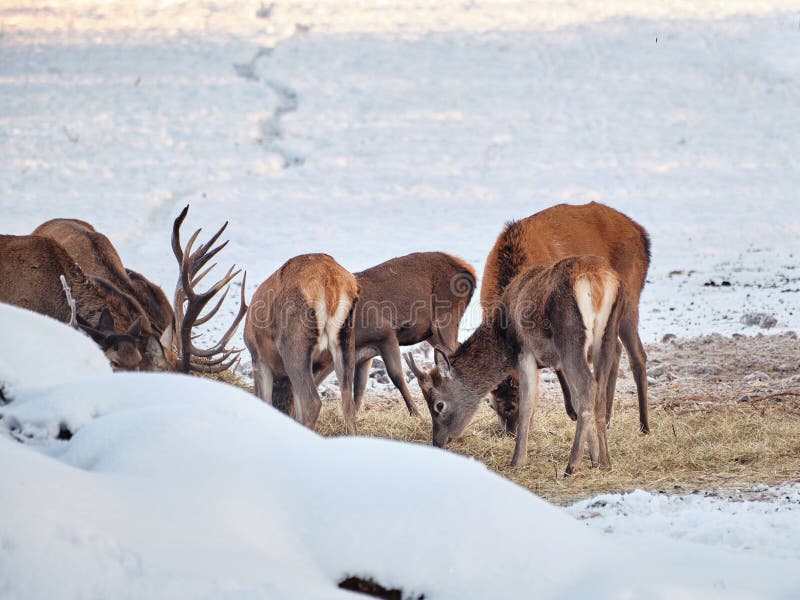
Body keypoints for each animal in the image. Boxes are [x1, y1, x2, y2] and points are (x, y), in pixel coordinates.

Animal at [244, 254, 360, 434]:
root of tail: (331, 282)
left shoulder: (258, 356)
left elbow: (266, 401)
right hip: (346, 340)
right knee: (348, 404)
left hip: (294, 345)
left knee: (312, 403)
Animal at [301, 252, 476, 418]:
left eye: (313, 369)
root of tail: (471, 272)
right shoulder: (364, 353)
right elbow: (359, 386)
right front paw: (355, 415)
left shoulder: (386, 335)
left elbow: (396, 376)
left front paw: (416, 413)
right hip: (432, 332)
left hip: (446, 317)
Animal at [406, 256, 624, 473]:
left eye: (439, 405)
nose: (438, 442)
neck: (504, 337)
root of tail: (598, 280)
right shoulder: (557, 361)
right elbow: (576, 403)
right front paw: (594, 458)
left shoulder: (524, 352)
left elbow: (527, 405)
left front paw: (517, 461)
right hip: (607, 336)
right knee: (600, 393)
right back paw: (606, 461)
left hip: (570, 338)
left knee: (588, 386)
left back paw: (571, 465)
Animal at [480, 202, 651, 436]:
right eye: (492, 405)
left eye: (515, 403)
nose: (511, 433)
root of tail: (642, 234)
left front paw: (573, 410)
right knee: (615, 349)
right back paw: (606, 418)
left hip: (630, 297)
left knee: (637, 356)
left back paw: (644, 426)